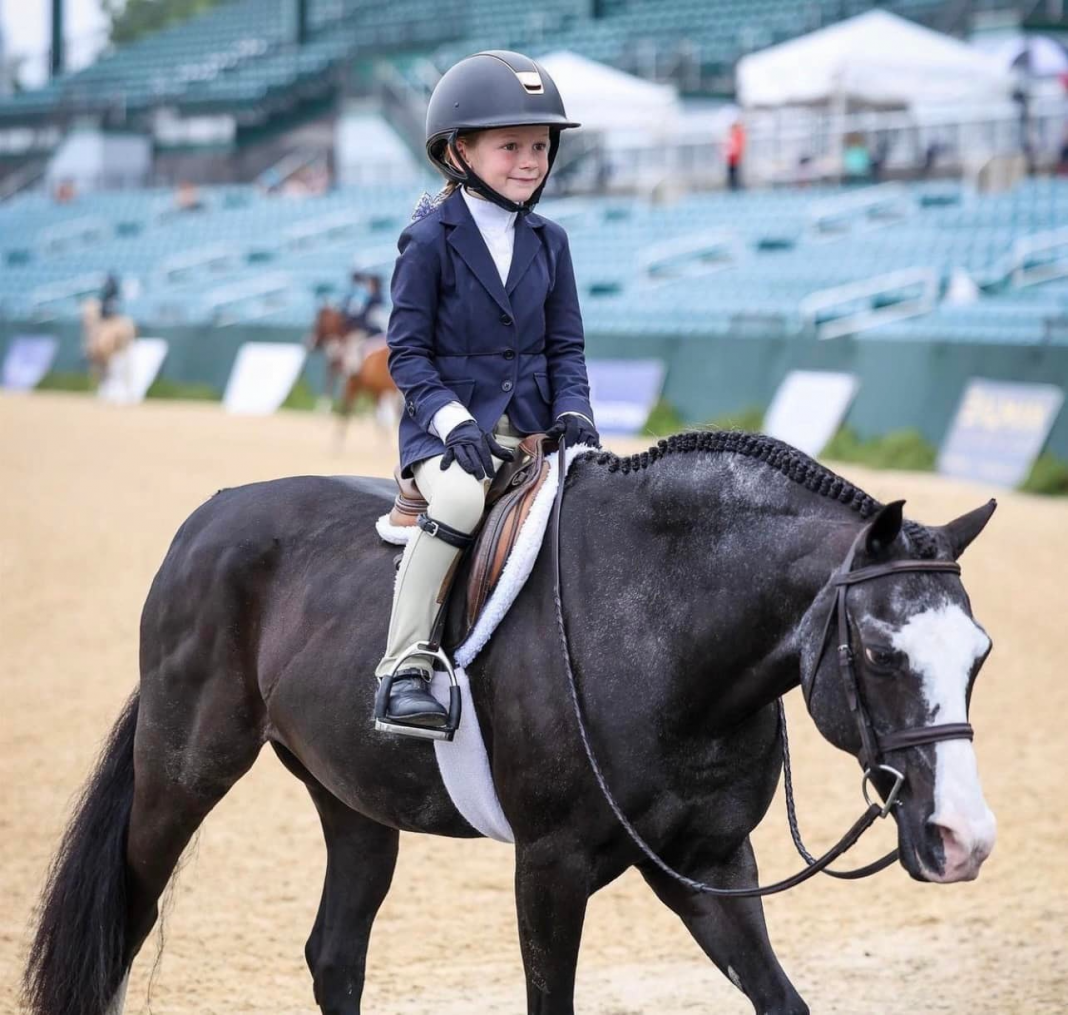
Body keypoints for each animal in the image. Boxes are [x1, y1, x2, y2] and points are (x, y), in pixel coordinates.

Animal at [23, 430, 998, 1015]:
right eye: (880, 652)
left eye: (979, 656)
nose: (964, 838)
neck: (660, 628)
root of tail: (211, 512)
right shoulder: (551, 866)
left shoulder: (706, 862)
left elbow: (778, 996)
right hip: (183, 771)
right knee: (127, 915)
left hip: (355, 801)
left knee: (335, 953)